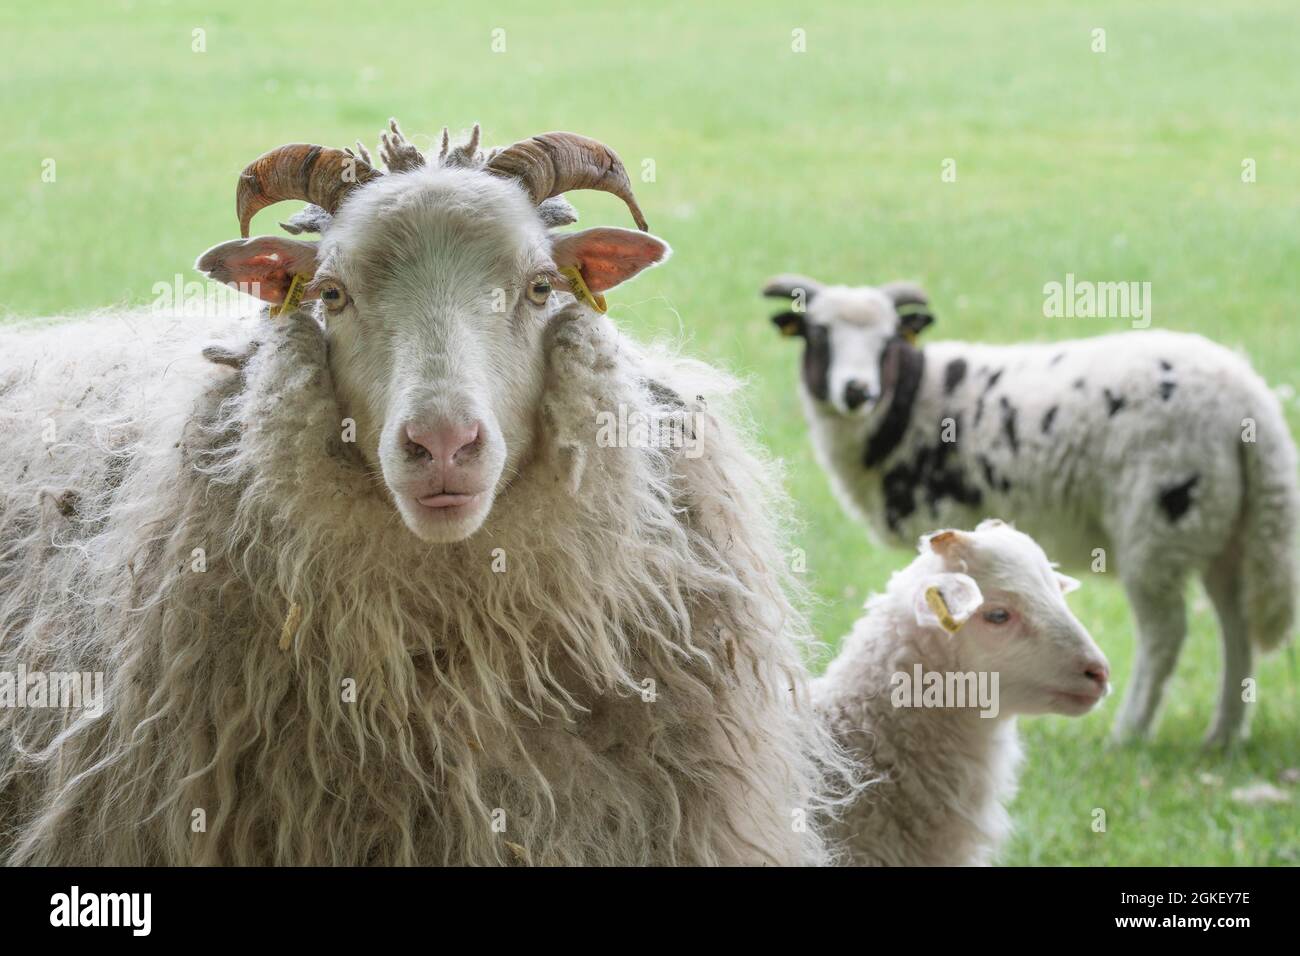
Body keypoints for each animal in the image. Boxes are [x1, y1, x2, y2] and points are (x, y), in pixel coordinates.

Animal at [764, 274, 1298, 748]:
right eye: (818, 334)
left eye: (888, 340)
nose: (857, 391)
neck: (912, 401)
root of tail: (1251, 402)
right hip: (1224, 531)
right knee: (1236, 627)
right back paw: (1223, 736)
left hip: (1160, 526)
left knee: (1165, 634)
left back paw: (1129, 733)